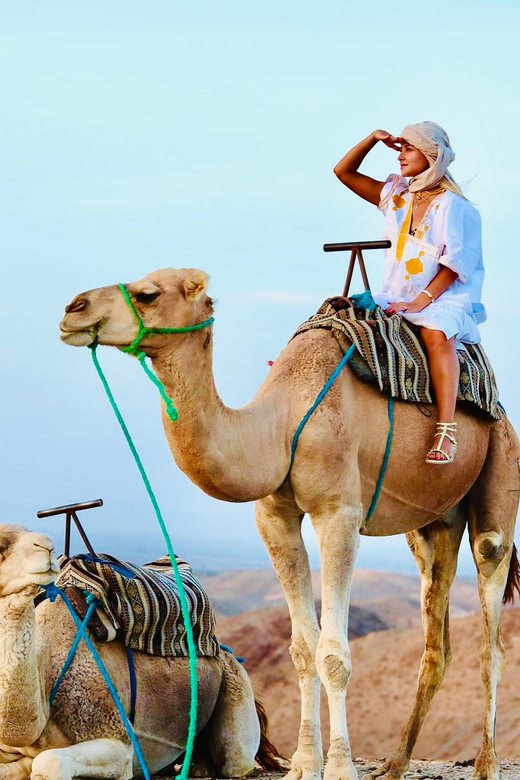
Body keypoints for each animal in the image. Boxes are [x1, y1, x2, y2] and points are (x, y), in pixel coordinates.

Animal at [0, 523, 282, 780]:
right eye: (2, 546)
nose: (46, 546)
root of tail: (225, 651)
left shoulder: (118, 740)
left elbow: (49, 762)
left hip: (235, 682)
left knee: (236, 759)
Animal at [60, 267, 520, 780]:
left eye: (148, 294)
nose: (73, 309)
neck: (280, 424)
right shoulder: (274, 517)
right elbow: (302, 649)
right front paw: (303, 761)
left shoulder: (338, 513)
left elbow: (334, 652)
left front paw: (338, 766)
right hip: (433, 525)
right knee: (435, 639)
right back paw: (395, 763)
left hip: (500, 467)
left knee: (491, 630)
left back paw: (486, 763)